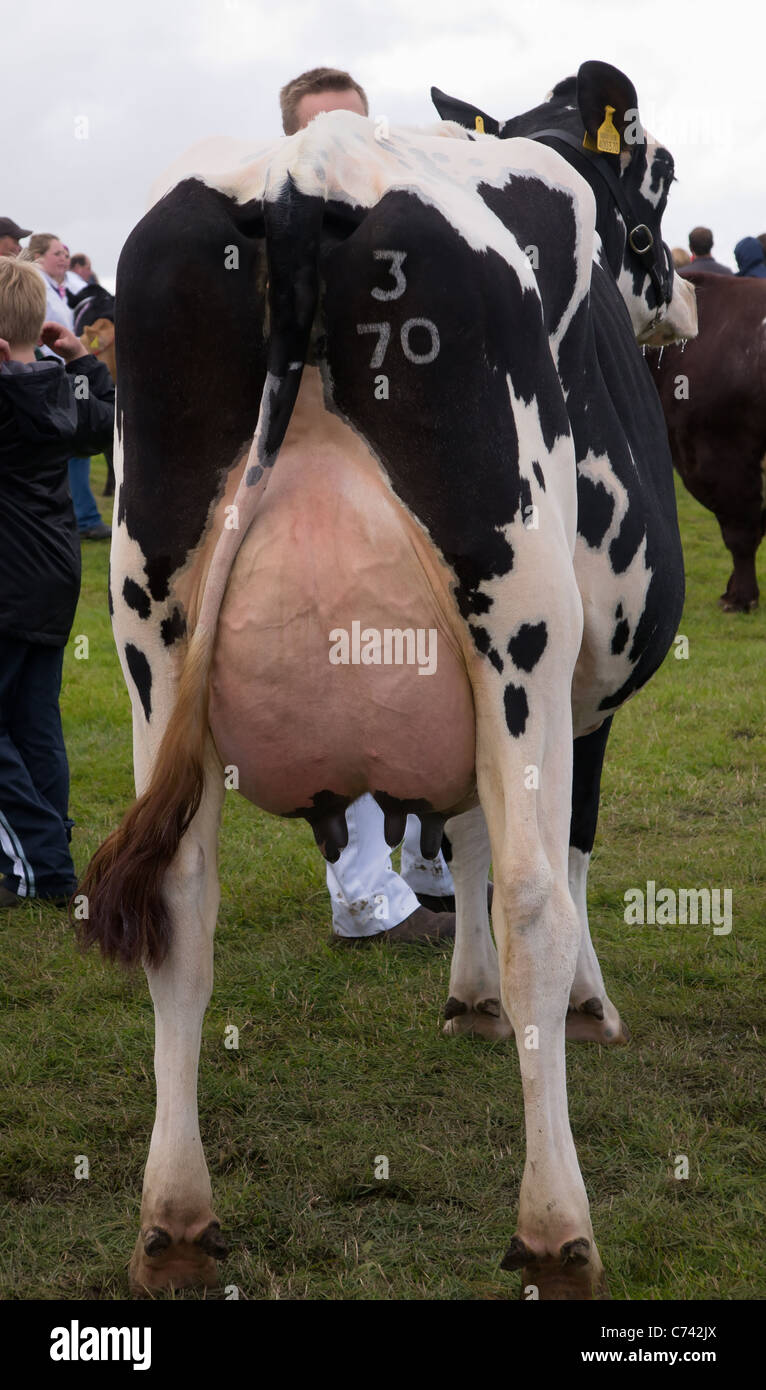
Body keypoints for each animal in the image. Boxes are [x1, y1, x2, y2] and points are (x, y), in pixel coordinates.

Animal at [79, 60, 696, 1300]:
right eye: (650, 207)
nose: (687, 302)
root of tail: (302, 172)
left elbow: (456, 827)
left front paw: (465, 998)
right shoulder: (579, 693)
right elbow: (557, 853)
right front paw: (584, 1005)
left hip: (150, 637)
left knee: (178, 900)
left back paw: (175, 1218)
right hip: (518, 625)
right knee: (533, 896)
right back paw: (556, 1226)